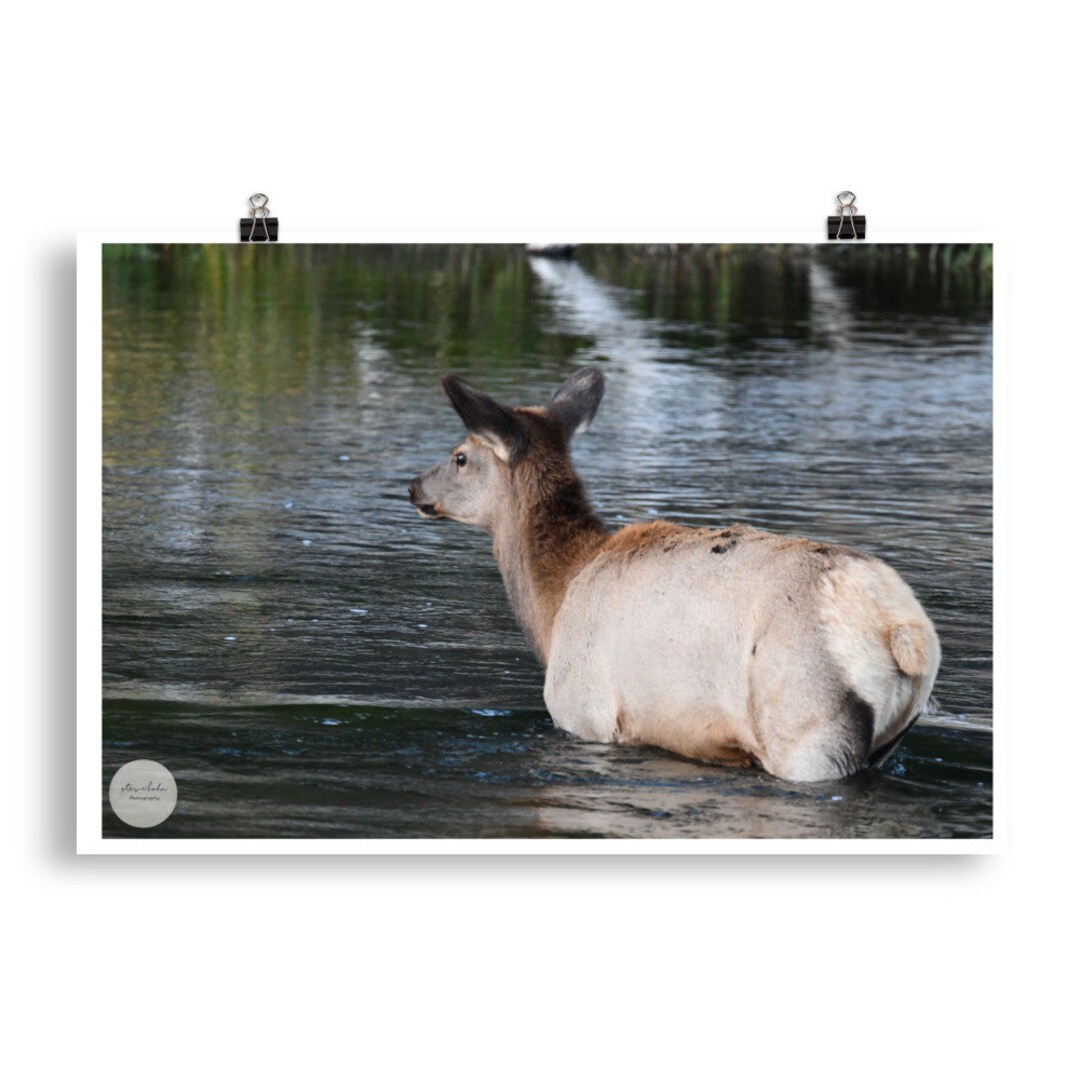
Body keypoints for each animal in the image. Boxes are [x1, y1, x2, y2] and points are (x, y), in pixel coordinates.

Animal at [408, 366, 941, 782]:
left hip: (808, 721)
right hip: (888, 740)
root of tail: (903, 633)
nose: (413, 485)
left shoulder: (585, 712)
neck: (553, 604)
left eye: (460, 456)